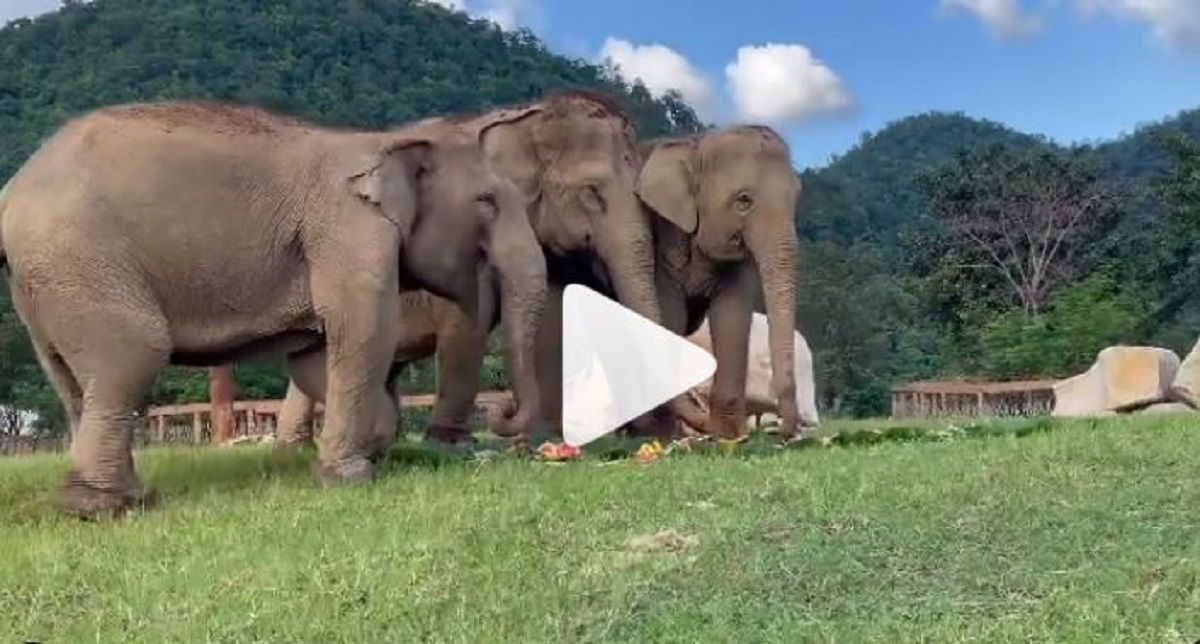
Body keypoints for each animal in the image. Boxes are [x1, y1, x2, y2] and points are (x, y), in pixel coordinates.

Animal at [0, 100, 546, 517]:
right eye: (487, 201)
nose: (503, 416)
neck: (385, 140)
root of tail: (11, 191)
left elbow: (313, 356)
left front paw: (375, 445)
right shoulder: (348, 230)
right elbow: (364, 328)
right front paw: (351, 476)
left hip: (44, 286)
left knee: (74, 380)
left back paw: (119, 496)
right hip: (79, 261)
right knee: (134, 353)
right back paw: (103, 509)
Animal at [634, 125, 803, 439]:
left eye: (797, 196)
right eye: (743, 200)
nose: (783, 432)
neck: (696, 145)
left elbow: (732, 315)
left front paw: (729, 437)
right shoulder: (663, 242)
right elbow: (671, 315)